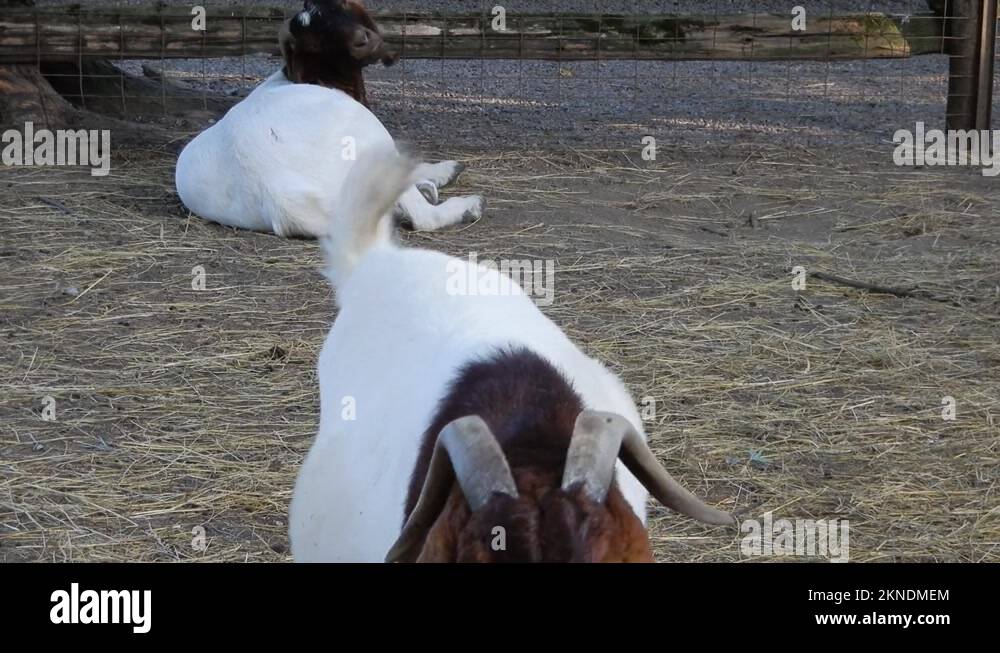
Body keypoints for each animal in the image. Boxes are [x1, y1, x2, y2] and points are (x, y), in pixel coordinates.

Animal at [175, 0, 482, 238]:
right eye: (312, 38)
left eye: (340, 8)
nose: (363, 40)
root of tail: (279, 194)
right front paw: (440, 172)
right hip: (369, 137)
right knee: (424, 216)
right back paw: (467, 206)